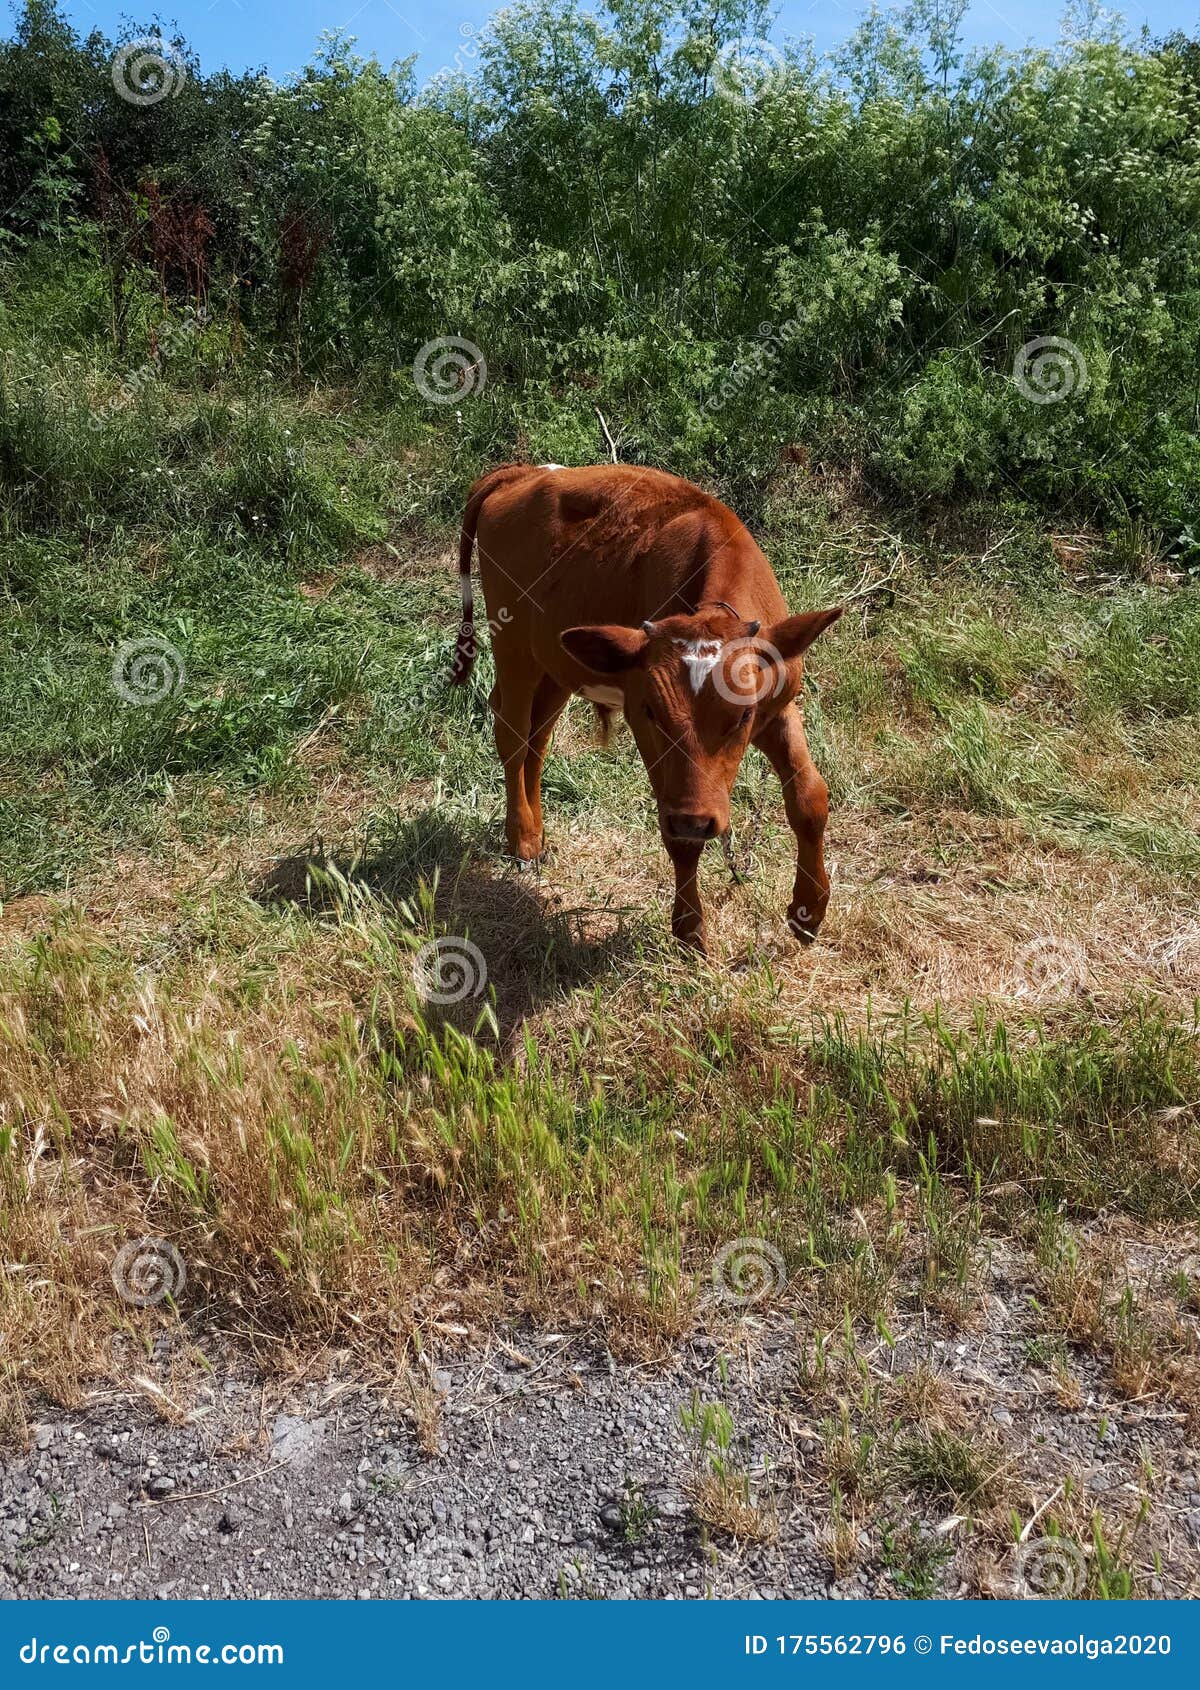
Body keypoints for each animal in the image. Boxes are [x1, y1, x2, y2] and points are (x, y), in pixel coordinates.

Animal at [451, 463, 842, 956]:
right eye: (655, 713)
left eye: (742, 717)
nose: (698, 818)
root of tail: (524, 472)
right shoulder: (645, 730)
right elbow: (679, 839)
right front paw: (689, 930)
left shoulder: (779, 706)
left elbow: (810, 798)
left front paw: (809, 909)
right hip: (514, 646)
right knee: (513, 735)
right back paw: (521, 837)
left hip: (555, 664)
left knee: (539, 739)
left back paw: (537, 834)